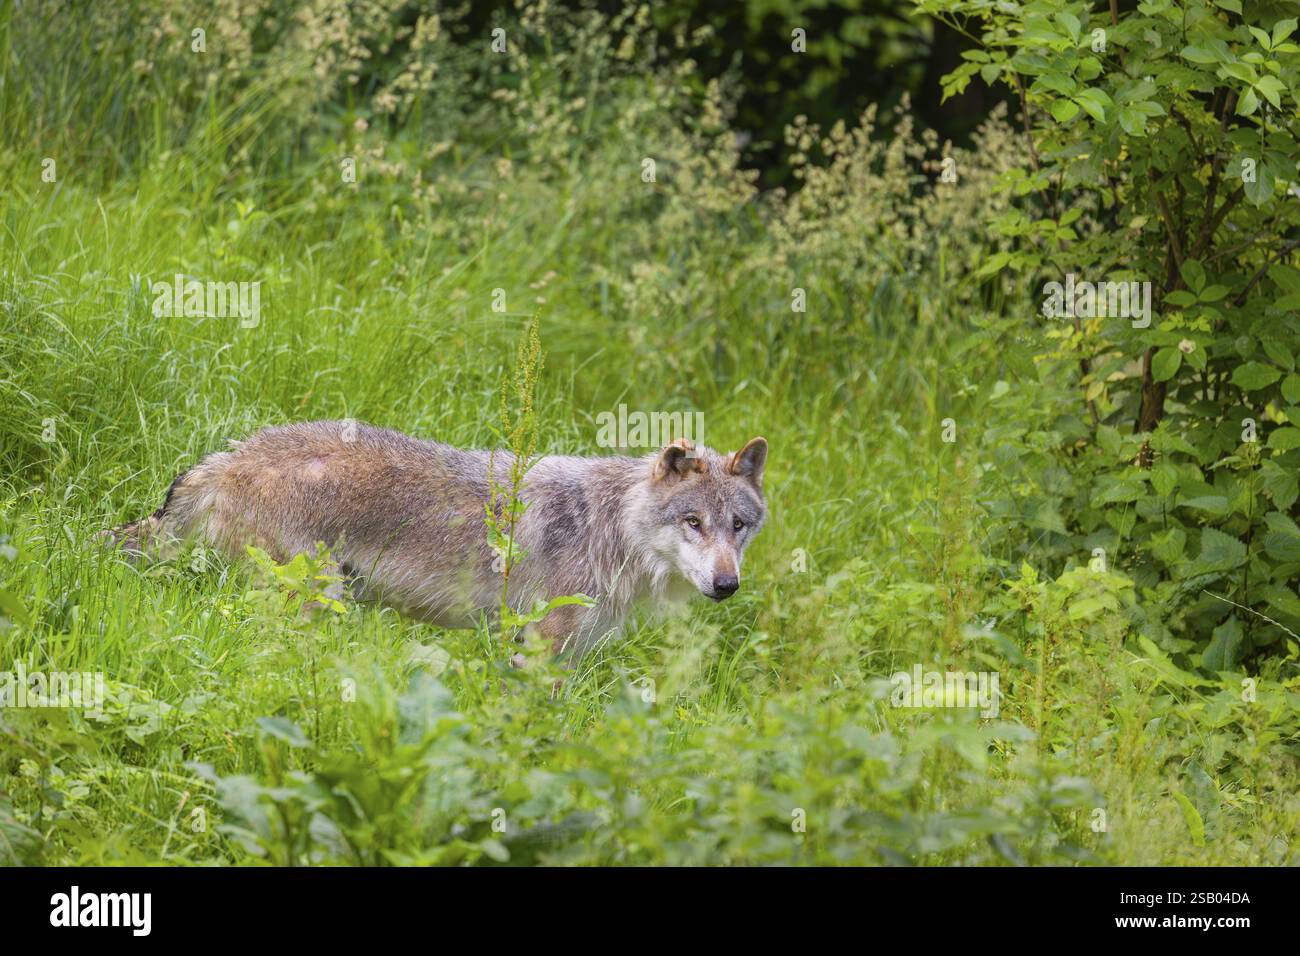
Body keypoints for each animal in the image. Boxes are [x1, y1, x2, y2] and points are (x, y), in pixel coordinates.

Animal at [106, 422, 768, 655]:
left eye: (737, 526)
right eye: (693, 523)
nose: (727, 584)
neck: (608, 526)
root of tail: (225, 458)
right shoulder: (542, 645)